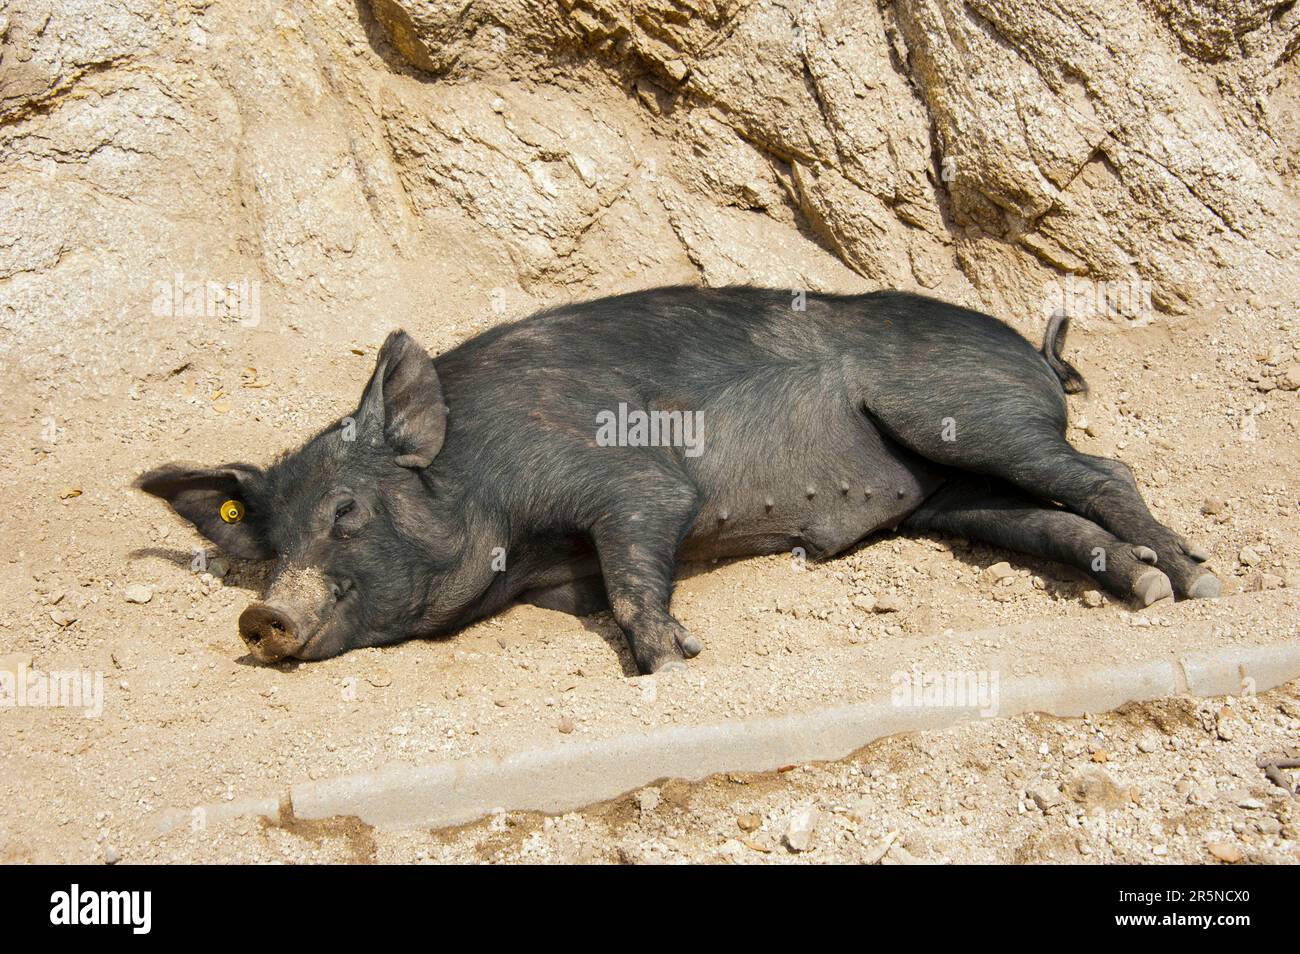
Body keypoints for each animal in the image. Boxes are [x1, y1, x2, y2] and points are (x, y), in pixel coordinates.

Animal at [137, 286, 1218, 674]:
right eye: (273, 543)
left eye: (348, 513)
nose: (260, 616)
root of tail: (1032, 346)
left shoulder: (628, 477)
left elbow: (634, 560)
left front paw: (673, 660)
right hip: (954, 493)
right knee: (1050, 521)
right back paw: (1149, 589)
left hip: (967, 413)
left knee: (1104, 469)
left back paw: (1198, 582)